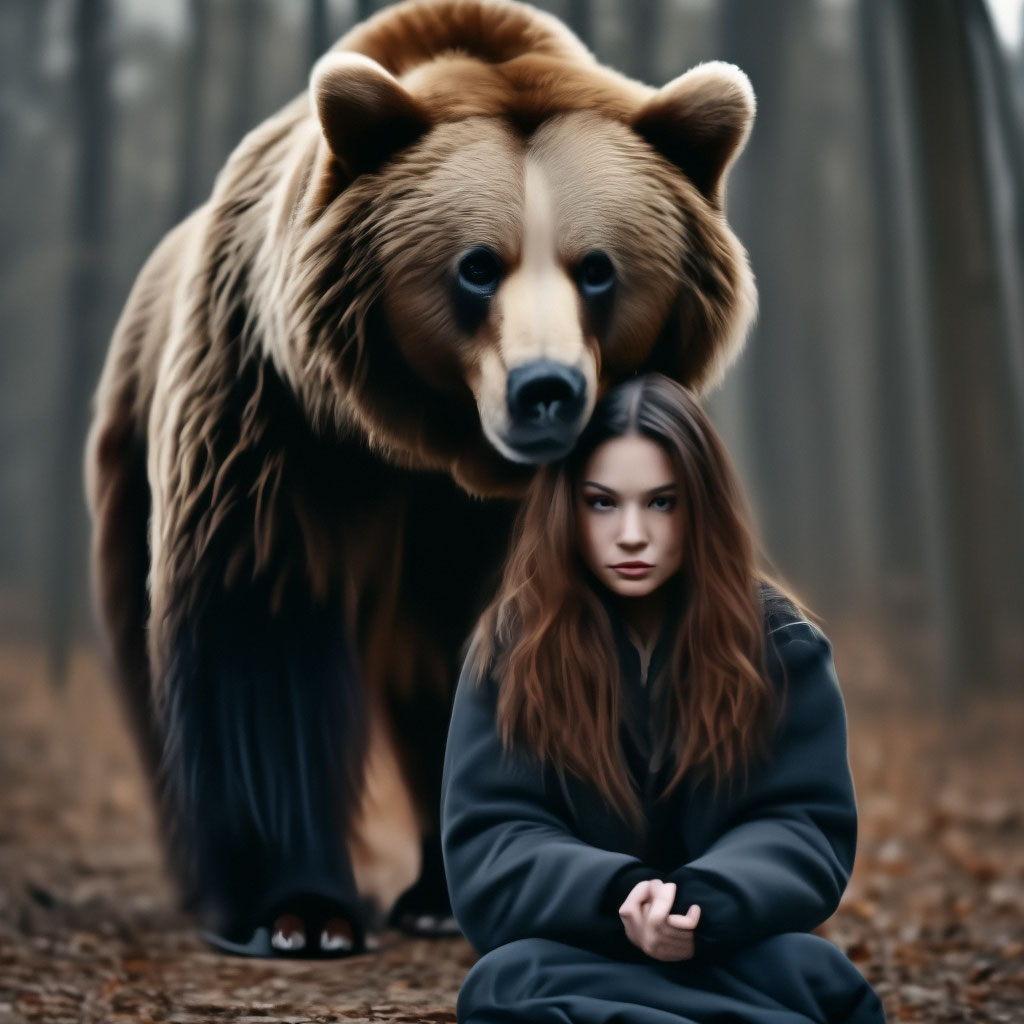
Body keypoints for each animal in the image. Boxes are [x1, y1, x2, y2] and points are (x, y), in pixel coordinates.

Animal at [84, 0, 757, 956]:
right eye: (477, 264)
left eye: (599, 268)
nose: (545, 390)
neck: (442, 454)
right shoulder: (281, 422)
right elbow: (262, 616)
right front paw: (301, 913)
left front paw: (457, 892)